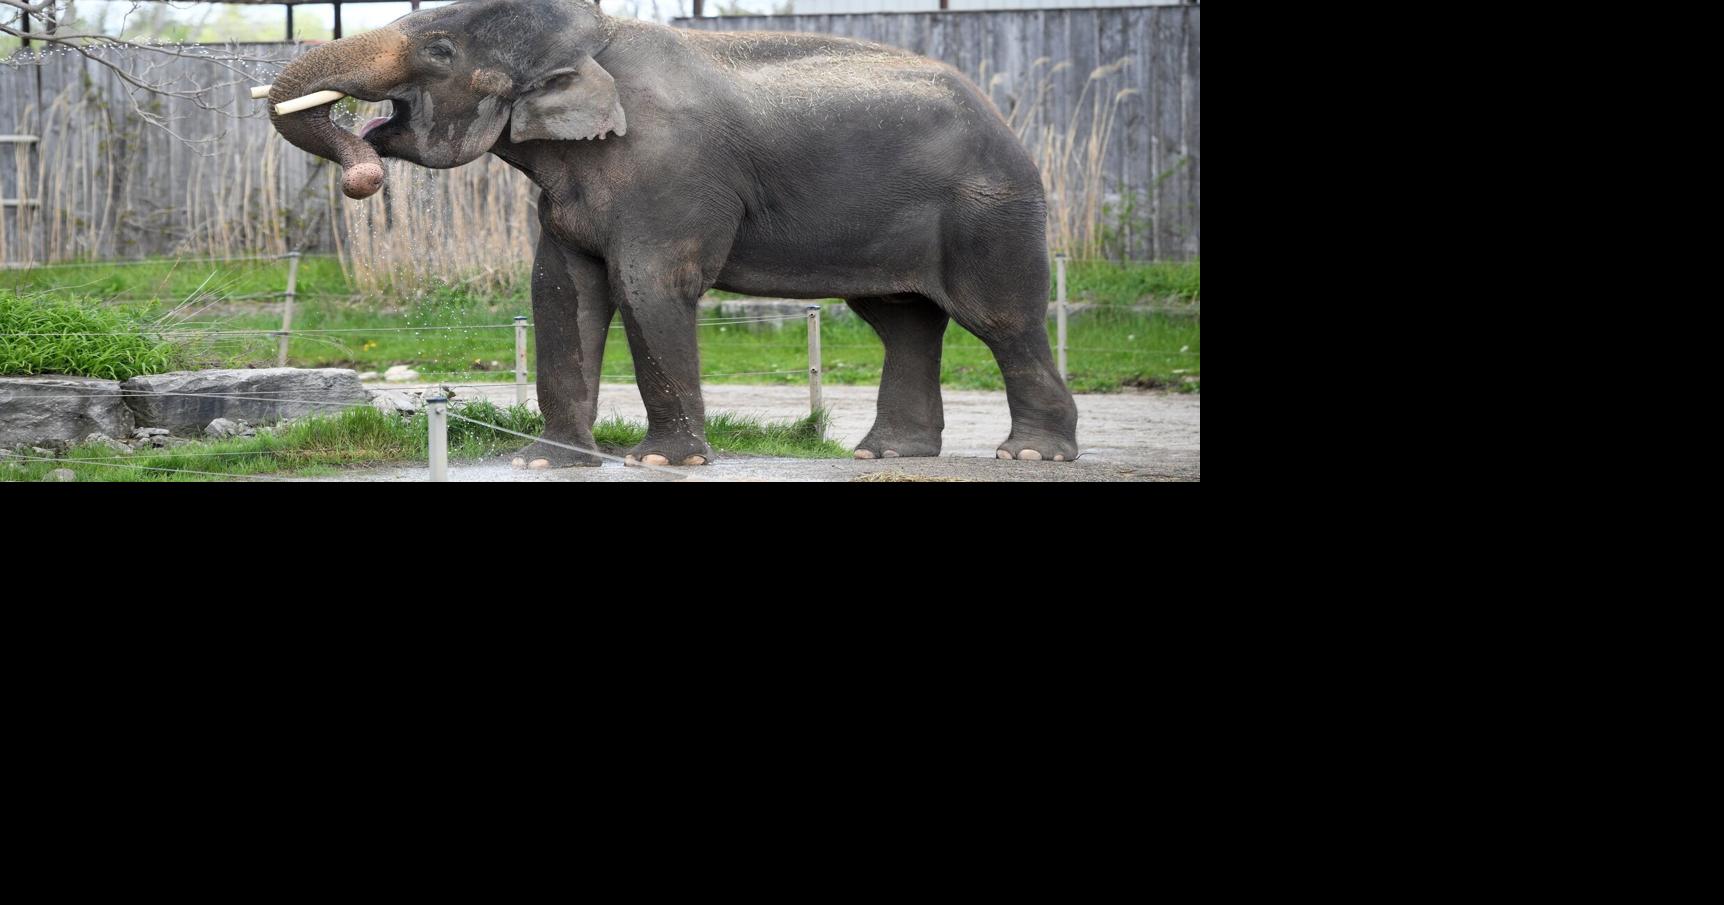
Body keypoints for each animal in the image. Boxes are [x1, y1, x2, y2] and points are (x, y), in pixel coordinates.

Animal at [268, 0, 1079, 466]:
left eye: (439, 51)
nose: (363, 173)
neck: (596, 36)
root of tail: (1003, 115)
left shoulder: (671, 175)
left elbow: (648, 286)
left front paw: (660, 463)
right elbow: (559, 291)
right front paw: (546, 464)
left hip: (989, 209)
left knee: (1002, 321)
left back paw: (1030, 456)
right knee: (902, 322)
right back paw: (882, 454)